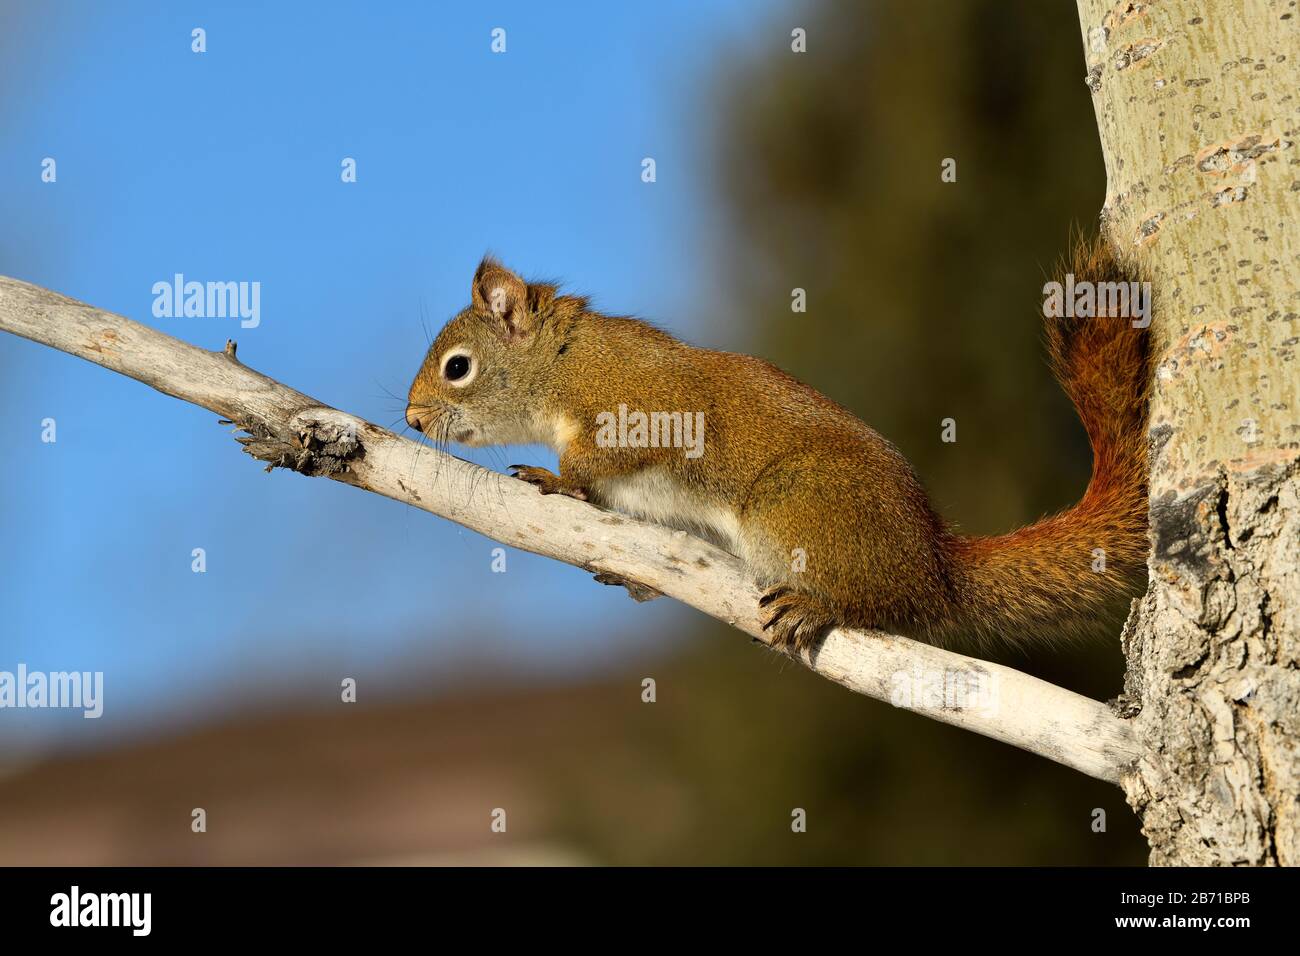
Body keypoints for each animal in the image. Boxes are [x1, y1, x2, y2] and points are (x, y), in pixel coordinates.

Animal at [406, 238, 1152, 652]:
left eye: (457, 368)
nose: (411, 419)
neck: (562, 365)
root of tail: (934, 562)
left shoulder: (643, 405)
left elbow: (597, 460)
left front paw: (557, 477)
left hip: (794, 507)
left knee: (888, 608)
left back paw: (819, 605)